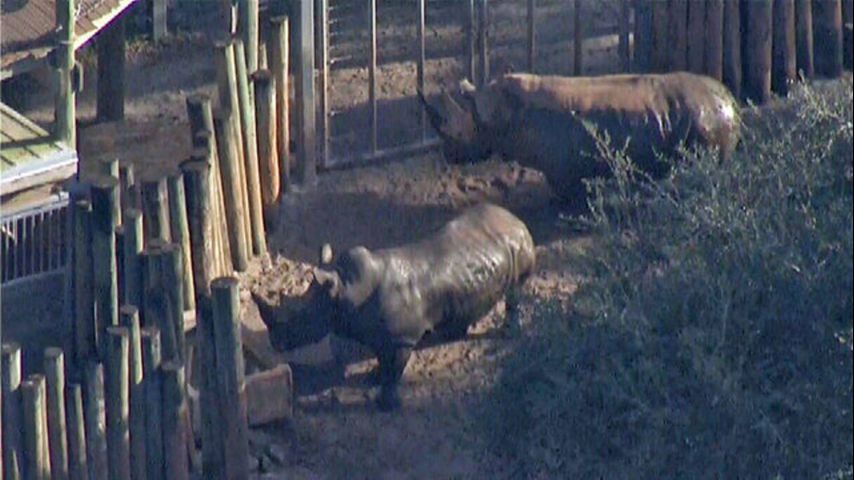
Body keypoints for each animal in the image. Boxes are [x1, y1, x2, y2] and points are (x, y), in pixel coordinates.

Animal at [252, 203, 536, 410]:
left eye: (301, 318)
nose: (274, 343)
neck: (347, 290)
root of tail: (516, 219)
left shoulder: (403, 339)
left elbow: (395, 372)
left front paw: (386, 405)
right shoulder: (378, 331)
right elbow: (382, 358)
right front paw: (374, 378)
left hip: (519, 244)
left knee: (515, 289)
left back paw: (508, 333)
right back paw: (453, 332)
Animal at [419, 72, 741, 206]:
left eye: (465, 134)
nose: (448, 155)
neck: (502, 114)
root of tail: (732, 101)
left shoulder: (563, 168)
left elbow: (567, 191)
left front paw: (571, 207)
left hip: (704, 117)